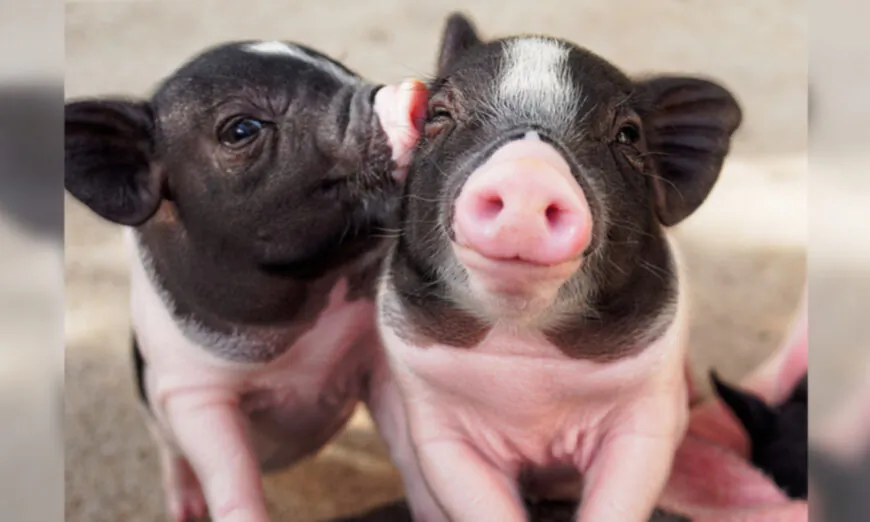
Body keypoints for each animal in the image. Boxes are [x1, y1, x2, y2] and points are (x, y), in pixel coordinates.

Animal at [64, 41, 426, 522]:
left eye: (347, 74)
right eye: (241, 129)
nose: (413, 92)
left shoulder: (371, 356)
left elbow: (408, 450)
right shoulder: (193, 392)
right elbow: (234, 483)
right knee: (172, 458)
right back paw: (185, 510)